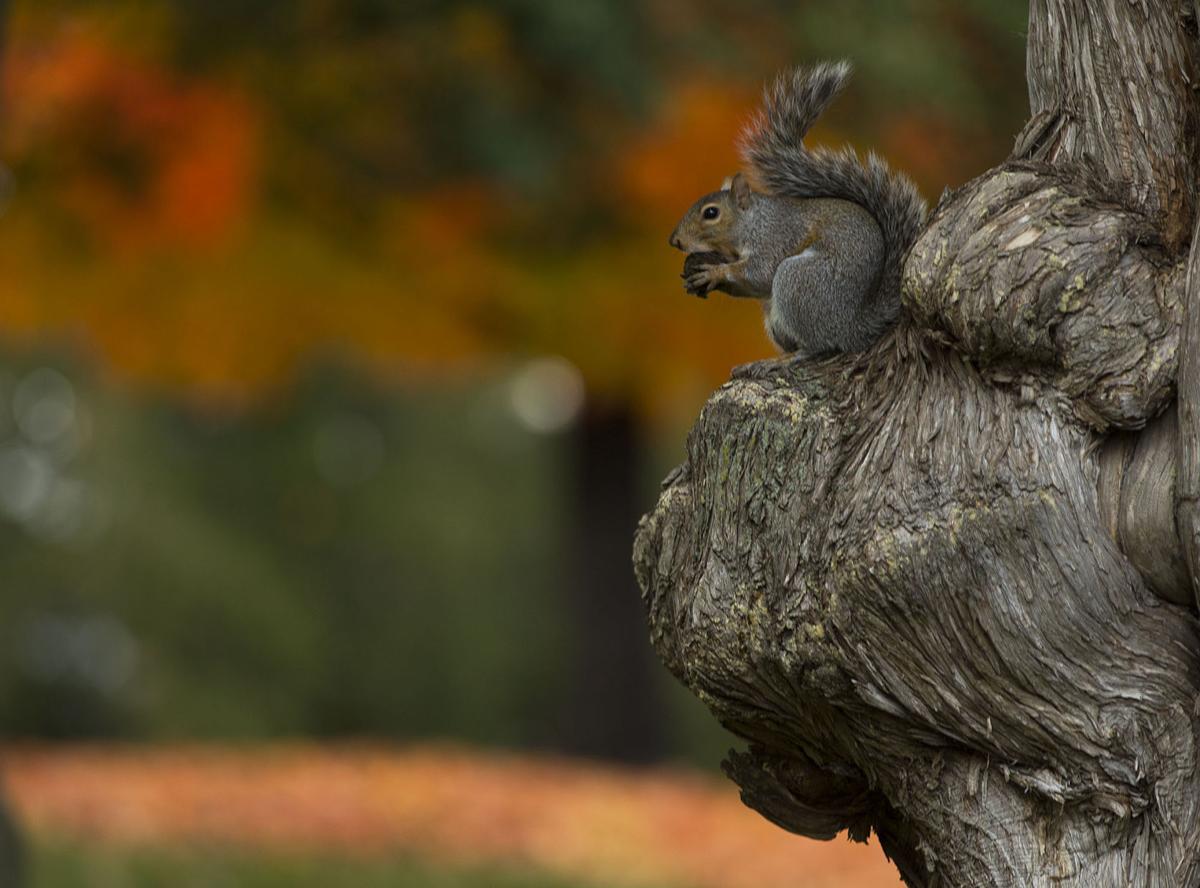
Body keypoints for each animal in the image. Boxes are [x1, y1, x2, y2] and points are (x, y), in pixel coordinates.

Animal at [668, 61, 927, 358]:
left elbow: (760, 273)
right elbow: (750, 287)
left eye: (711, 213)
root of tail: (853, 327)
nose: (675, 240)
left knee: (819, 344)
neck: (753, 222)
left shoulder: (774, 239)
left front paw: (716, 272)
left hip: (798, 282)